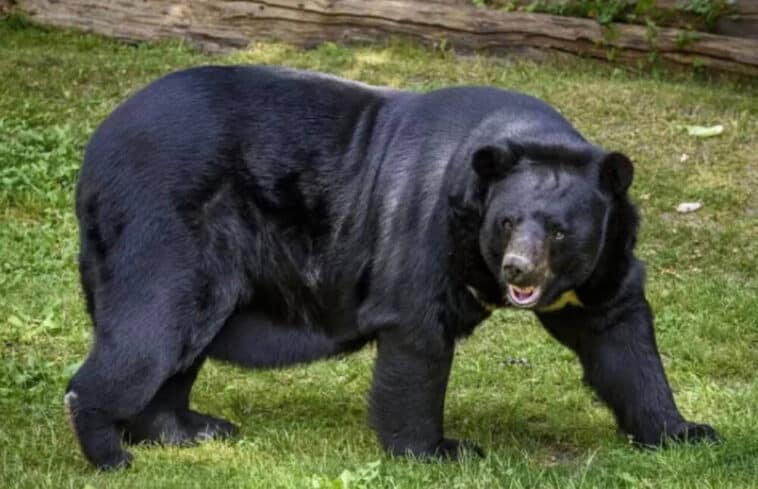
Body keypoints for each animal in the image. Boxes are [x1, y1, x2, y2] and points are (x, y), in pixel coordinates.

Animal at [66, 65, 718, 470]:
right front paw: (439, 449)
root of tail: (97, 147)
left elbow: (618, 333)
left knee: (179, 346)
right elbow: (416, 334)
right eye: (507, 222)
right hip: (166, 226)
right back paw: (111, 452)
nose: (517, 271)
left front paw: (687, 431)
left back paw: (190, 428)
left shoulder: (603, 261)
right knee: (153, 327)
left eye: (560, 231)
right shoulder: (426, 222)